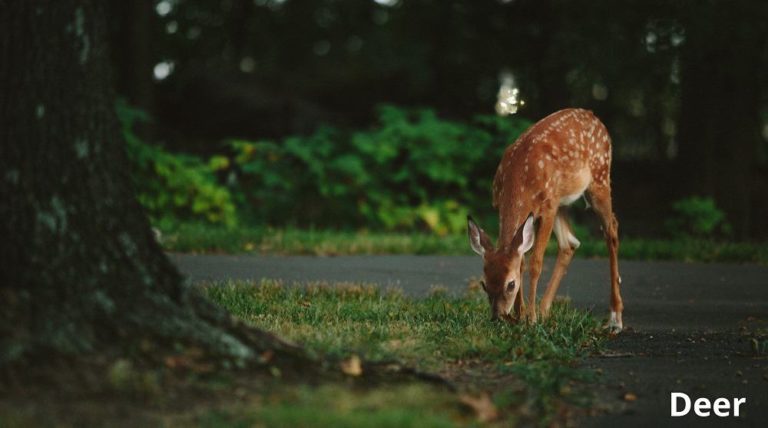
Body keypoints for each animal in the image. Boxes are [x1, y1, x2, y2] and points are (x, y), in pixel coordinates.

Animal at [467, 108, 623, 333]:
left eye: (511, 284)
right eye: (484, 284)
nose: (497, 317)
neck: (520, 179)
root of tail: (594, 116)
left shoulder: (547, 209)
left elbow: (535, 263)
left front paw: (530, 318)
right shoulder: (505, 205)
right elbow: (521, 260)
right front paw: (521, 315)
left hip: (599, 178)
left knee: (611, 229)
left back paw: (615, 318)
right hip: (562, 201)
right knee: (570, 243)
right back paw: (544, 310)